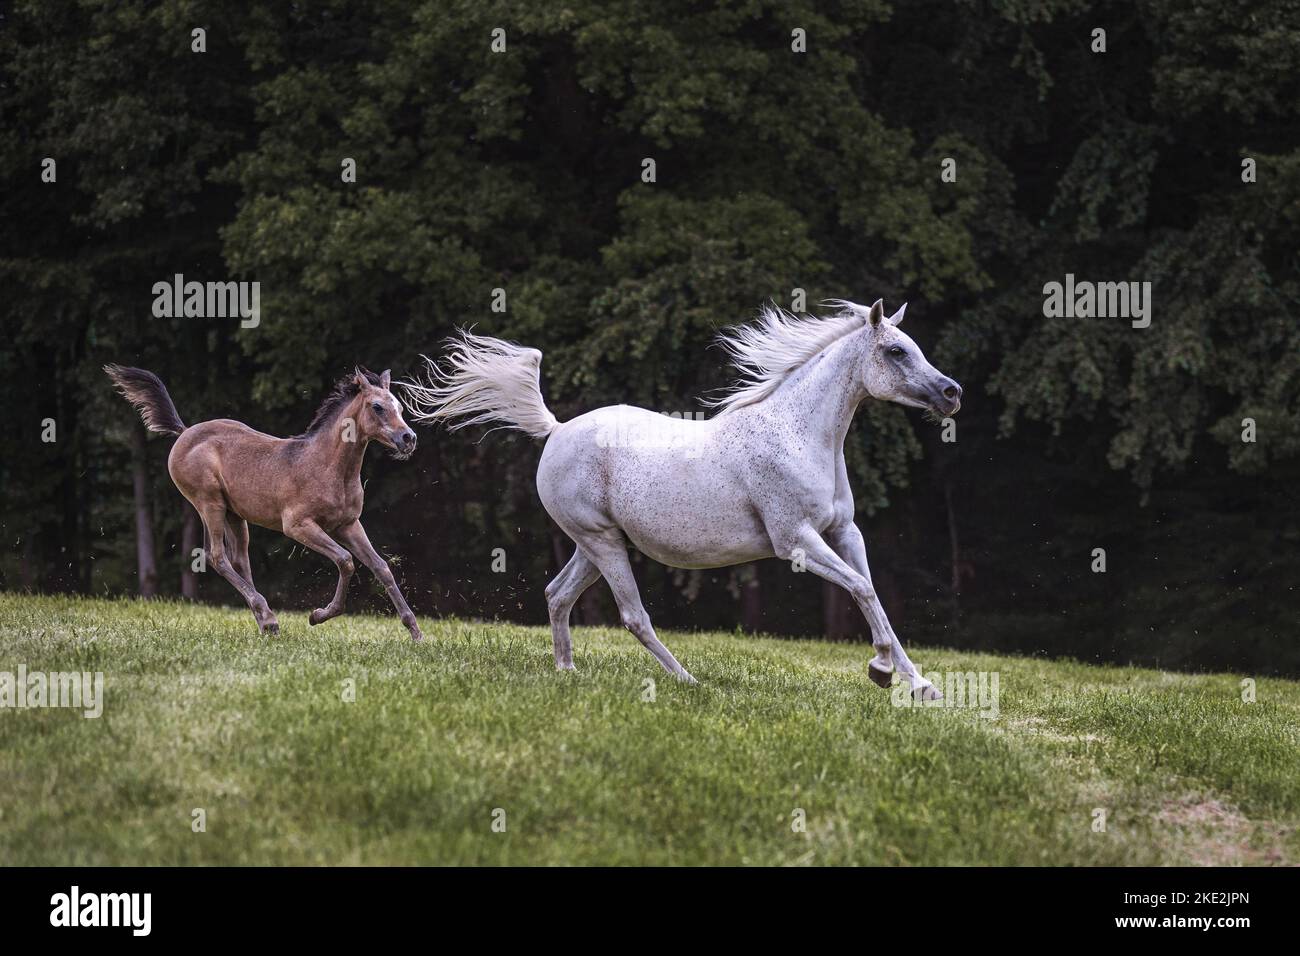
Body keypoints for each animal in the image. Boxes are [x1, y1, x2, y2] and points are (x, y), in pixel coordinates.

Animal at [105, 365, 424, 642]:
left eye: (400, 407)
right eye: (377, 407)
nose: (408, 438)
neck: (330, 467)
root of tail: (184, 432)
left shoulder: (348, 525)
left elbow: (381, 567)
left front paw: (416, 632)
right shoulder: (298, 526)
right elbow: (345, 561)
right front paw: (318, 615)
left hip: (235, 515)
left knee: (238, 560)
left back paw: (266, 622)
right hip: (209, 503)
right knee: (216, 556)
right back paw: (268, 617)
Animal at [402, 298, 961, 698]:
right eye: (895, 351)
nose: (951, 393)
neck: (798, 434)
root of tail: (557, 430)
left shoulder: (844, 533)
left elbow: (872, 594)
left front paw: (921, 686)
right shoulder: (797, 543)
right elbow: (862, 590)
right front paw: (880, 670)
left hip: (594, 545)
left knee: (558, 595)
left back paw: (568, 672)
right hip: (603, 543)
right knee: (633, 616)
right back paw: (688, 681)